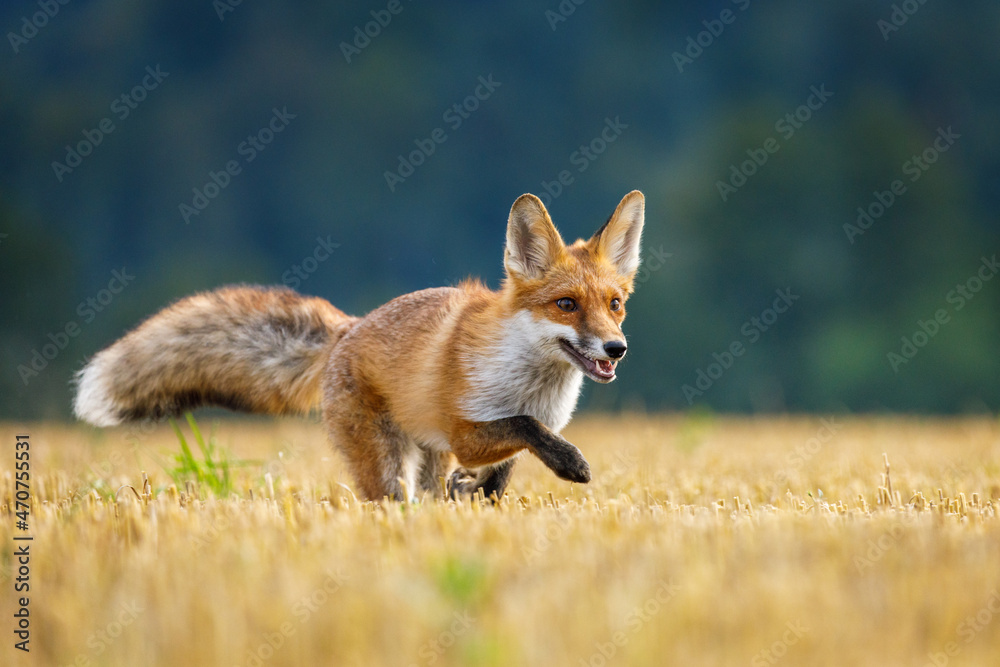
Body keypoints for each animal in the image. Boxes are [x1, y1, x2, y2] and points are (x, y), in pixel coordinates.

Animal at [73, 190, 645, 502]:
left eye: (615, 303)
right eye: (566, 304)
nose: (615, 348)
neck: (531, 383)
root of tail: (348, 328)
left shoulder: (487, 441)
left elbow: (503, 471)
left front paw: (480, 496)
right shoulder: (466, 430)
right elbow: (524, 428)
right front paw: (570, 464)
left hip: (425, 453)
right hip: (387, 464)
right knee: (392, 502)